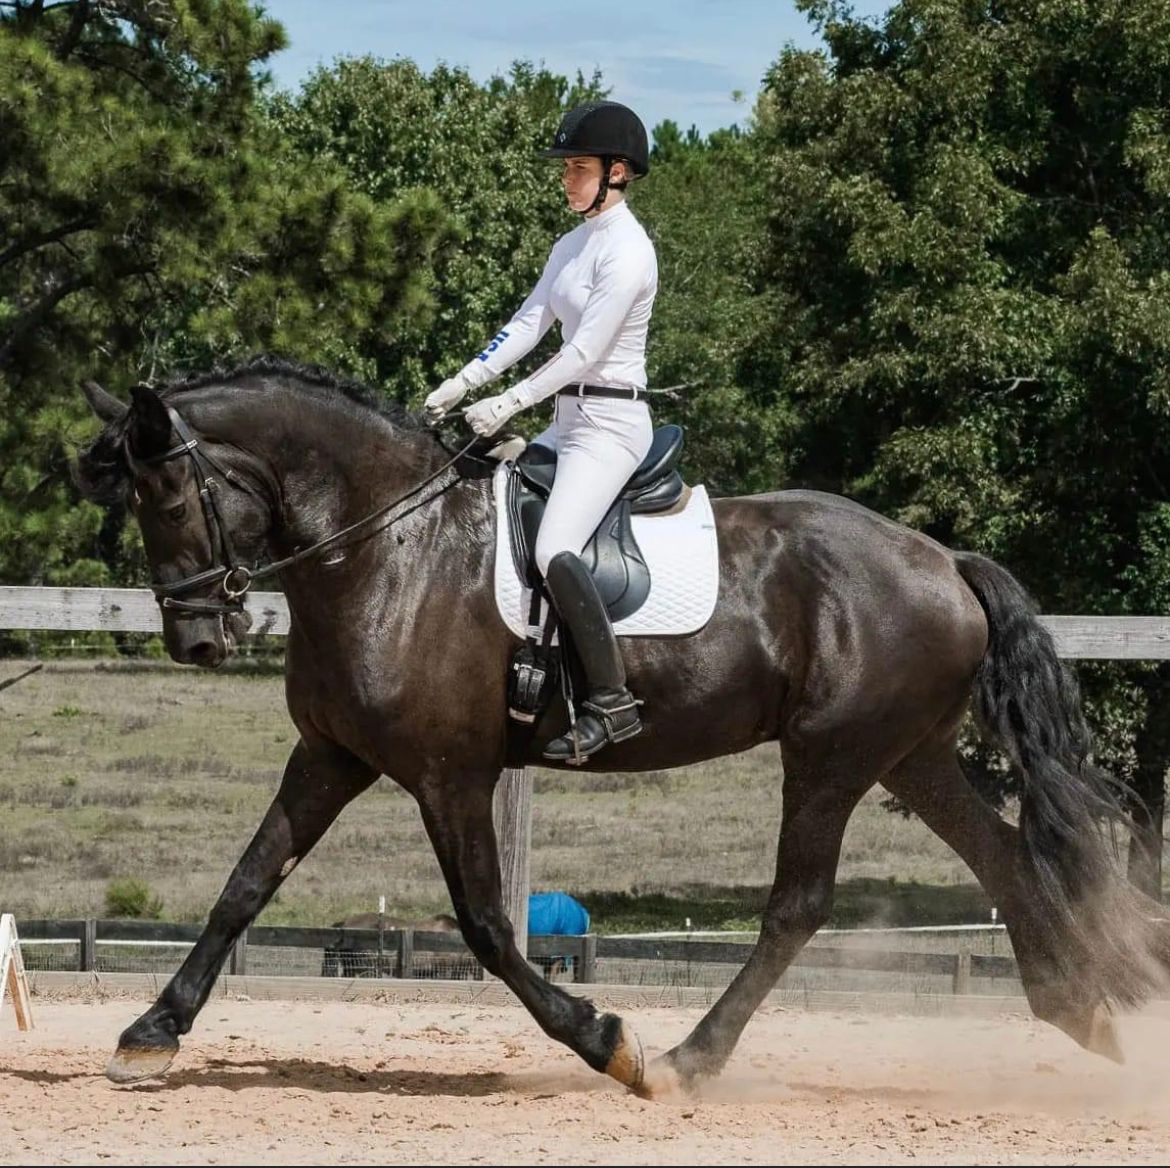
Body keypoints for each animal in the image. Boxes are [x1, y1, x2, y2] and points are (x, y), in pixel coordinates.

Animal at [75, 356, 1170, 1098]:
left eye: (168, 494)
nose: (194, 638)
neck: (390, 547)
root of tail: (944, 560)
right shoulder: (333, 755)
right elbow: (245, 885)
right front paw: (150, 1031)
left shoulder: (450, 772)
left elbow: (486, 925)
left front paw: (607, 1040)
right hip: (909, 756)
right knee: (1004, 858)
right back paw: (1079, 1012)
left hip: (832, 755)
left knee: (800, 904)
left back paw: (687, 1058)